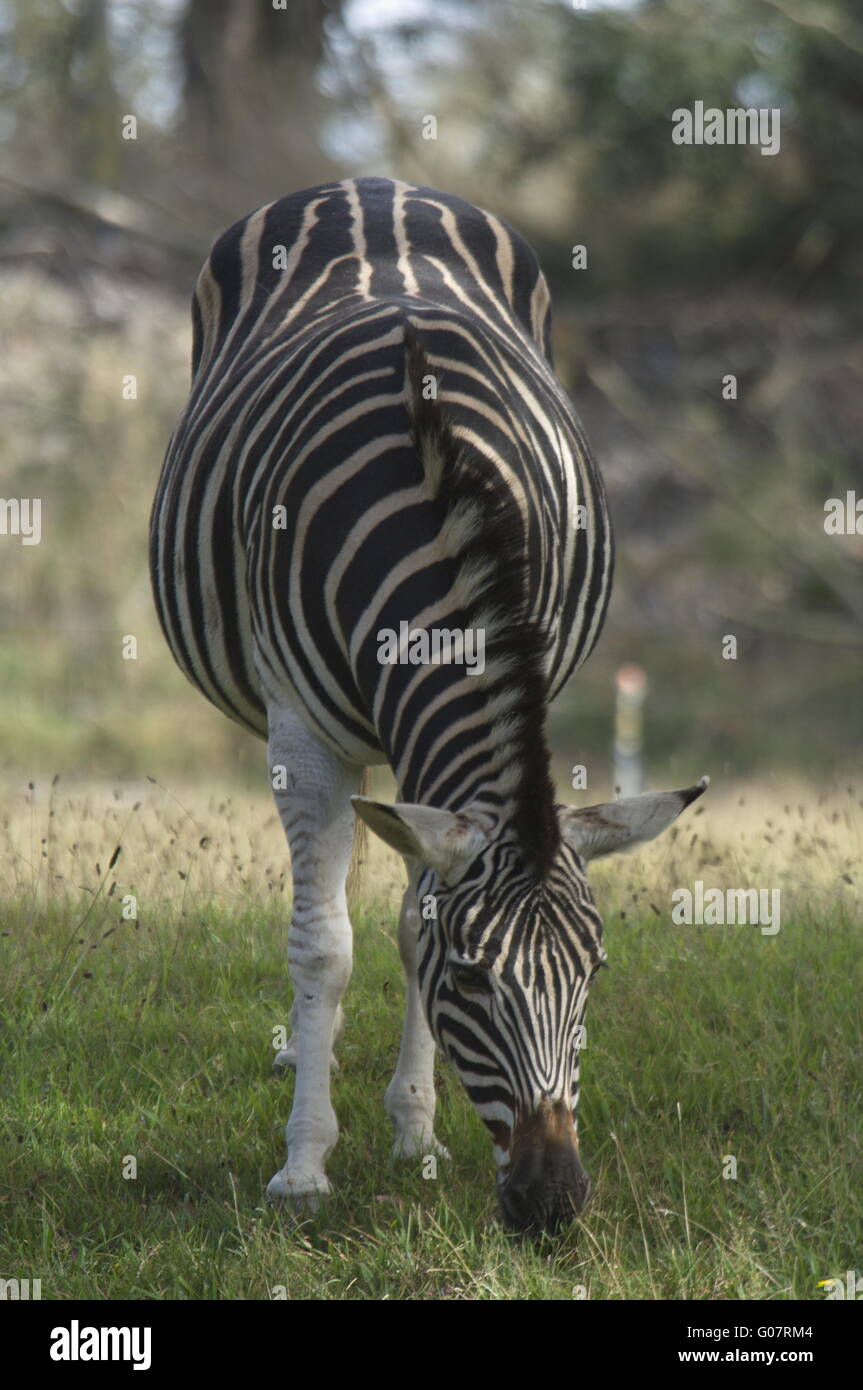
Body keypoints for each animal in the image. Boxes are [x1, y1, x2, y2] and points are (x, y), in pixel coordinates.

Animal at [150, 177, 707, 1234]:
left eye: (594, 974)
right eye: (475, 978)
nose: (552, 1202)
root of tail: (372, 184)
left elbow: (412, 921)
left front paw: (414, 1129)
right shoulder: (302, 733)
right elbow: (322, 946)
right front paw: (304, 1163)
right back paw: (301, 1050)